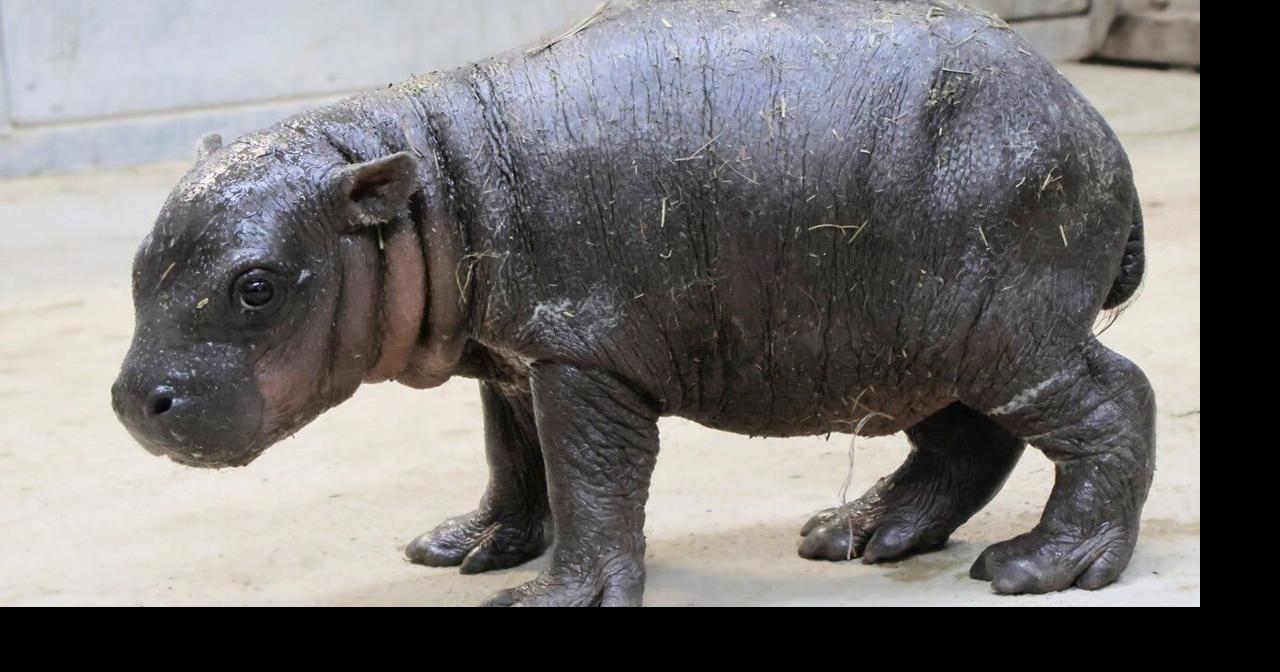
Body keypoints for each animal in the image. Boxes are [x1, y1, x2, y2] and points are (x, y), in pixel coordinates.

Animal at [112, 0, 1154, 606]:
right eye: (138, 262)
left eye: (256, 286)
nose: (131, 403)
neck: (429, 184)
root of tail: (1100, 130)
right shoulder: (517, 353)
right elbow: (515, 458)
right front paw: (463, 547)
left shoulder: (584, 355)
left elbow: (591, 475)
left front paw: (547, 599)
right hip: (916, 341)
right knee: (969, 438)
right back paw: (851, 536)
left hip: (1004, 329)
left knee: (1115, 401)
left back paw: (1037, 568)